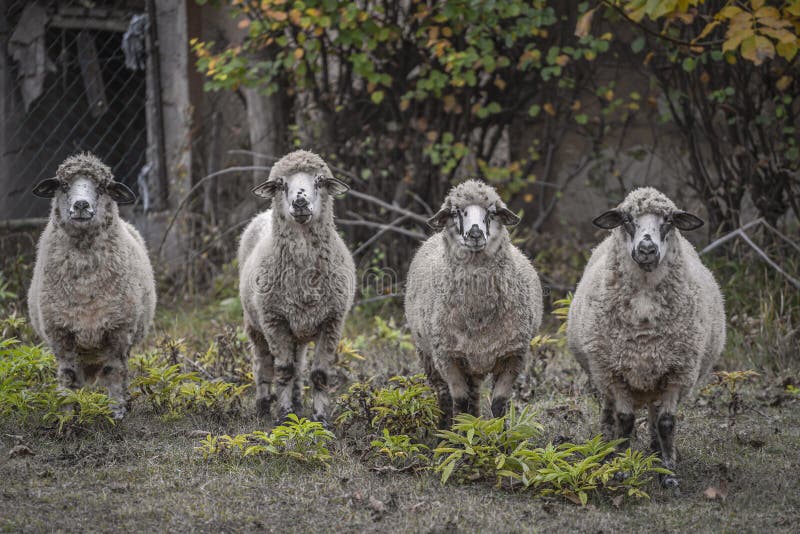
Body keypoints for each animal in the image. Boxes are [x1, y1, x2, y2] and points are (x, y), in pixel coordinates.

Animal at [27, 152, 156, 419]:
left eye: (101, 187)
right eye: (64, 185)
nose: (81, 206)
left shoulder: (118, 331)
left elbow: (114, 372)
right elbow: (67, 376)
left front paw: (116, 411)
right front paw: (66, 415)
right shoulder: (60, 333)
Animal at [238, 149, 355, 426]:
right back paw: (263, 405)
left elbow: (319, 374)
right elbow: (283, 370)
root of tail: (260, 216)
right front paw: (283, 416)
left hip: (299, 330)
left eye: (319, 181)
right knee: (263, 365)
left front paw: (321, 419)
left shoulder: (332, 322)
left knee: (300, 365)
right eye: (281, 184)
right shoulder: (274, 321)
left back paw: (299, 402)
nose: (300, 202)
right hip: (255, 324)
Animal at [405, 179, 543, 427]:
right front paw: (458, 435)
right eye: (454, 212)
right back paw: (443, 431)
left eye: (492, 212)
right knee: (444, 395)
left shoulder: (512, 355)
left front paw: (501, 436)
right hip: (428, 354)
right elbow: (459, 402)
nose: (475, 233)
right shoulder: (448, 356)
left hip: (474, 362)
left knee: (474, 395)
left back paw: (475, 423)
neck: (478, 315)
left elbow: (499, 404)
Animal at [567, 187, 725, 488]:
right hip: (603, 372)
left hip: (657, 376)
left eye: (669, 221)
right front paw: (619, 467)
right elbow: (625, 419)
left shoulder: (677, 372)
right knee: (610, 412)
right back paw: (606, 444)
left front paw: (669, 473)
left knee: (654, 415)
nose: (647, 249)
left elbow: (666, 423)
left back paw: (656, 449)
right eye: (627, 219)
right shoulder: (614, 372)